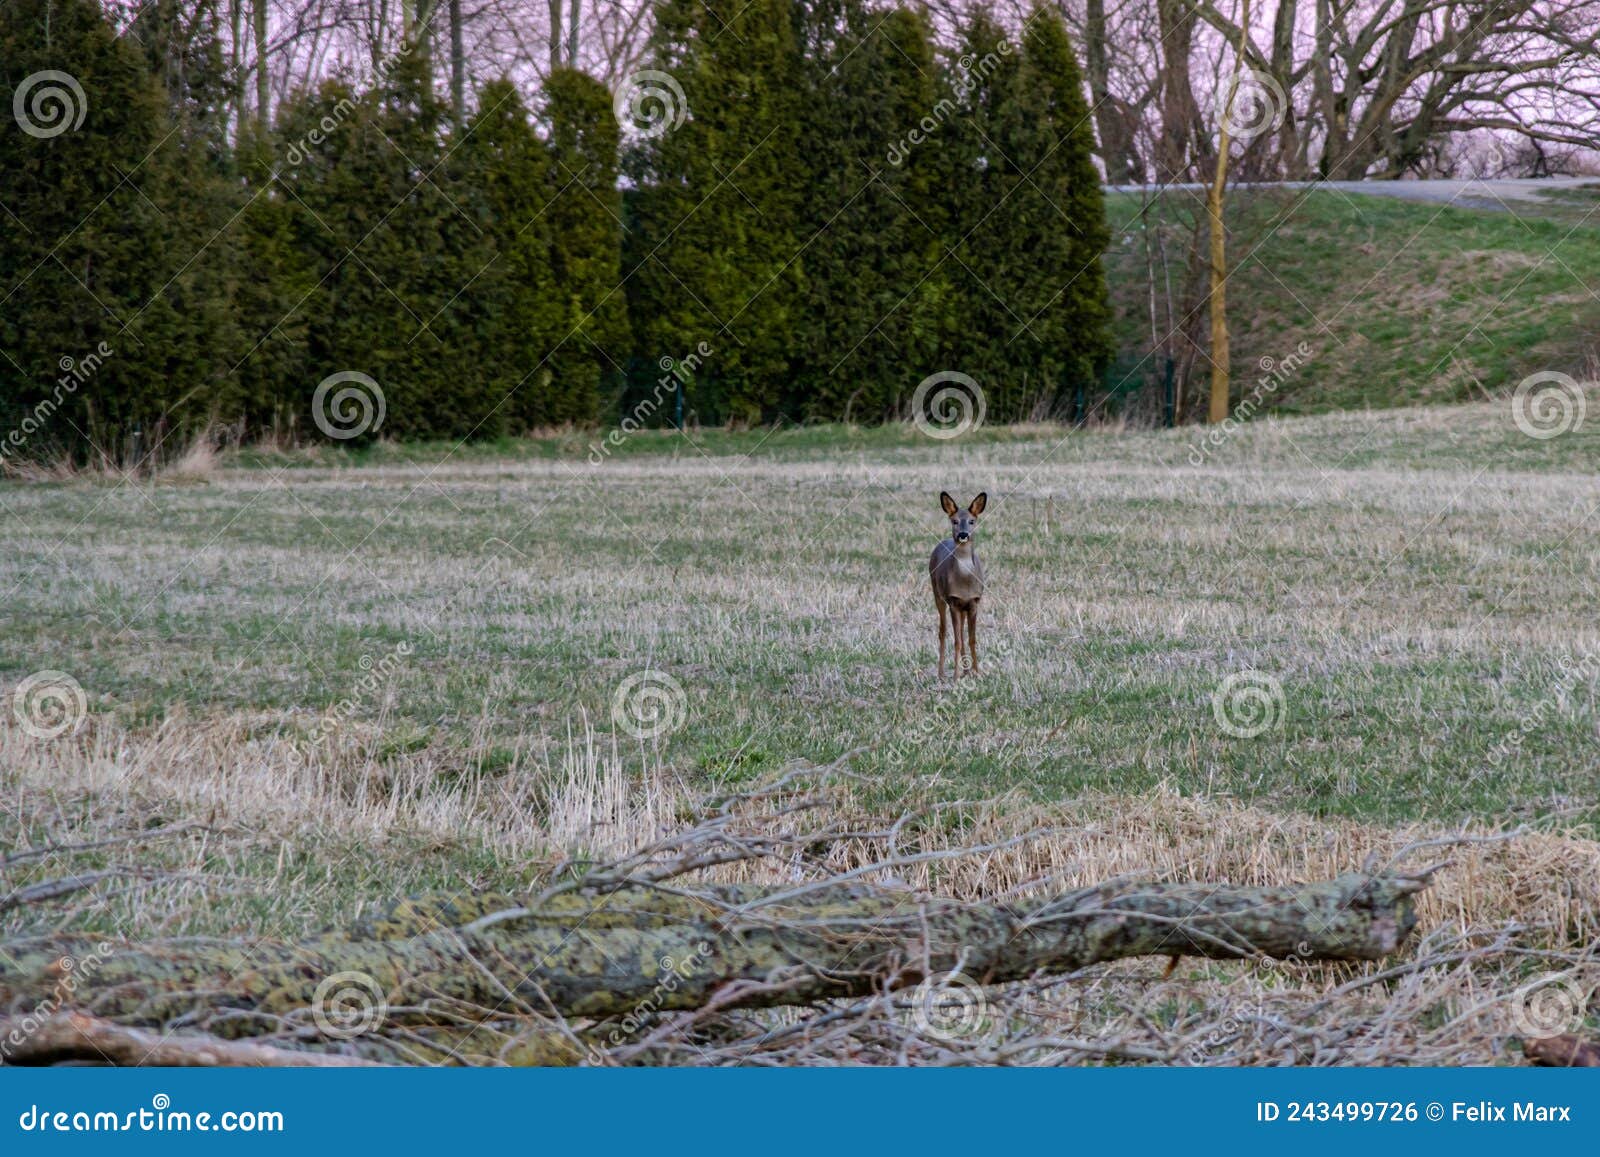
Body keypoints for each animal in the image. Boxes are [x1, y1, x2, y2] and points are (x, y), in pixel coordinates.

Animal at [929, 491, 987, 679]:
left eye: (972, 521)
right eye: (954, 521)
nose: (963, 534)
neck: (965, 583)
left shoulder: (974, 601)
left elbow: (971, 639)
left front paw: (977, 673)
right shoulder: (953, 601)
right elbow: (957, 641)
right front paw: (955, 677)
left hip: (963, 608)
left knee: (961, 631)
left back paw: (966, 671)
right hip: (937, 593)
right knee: (943, 631)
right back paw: (941, 674)